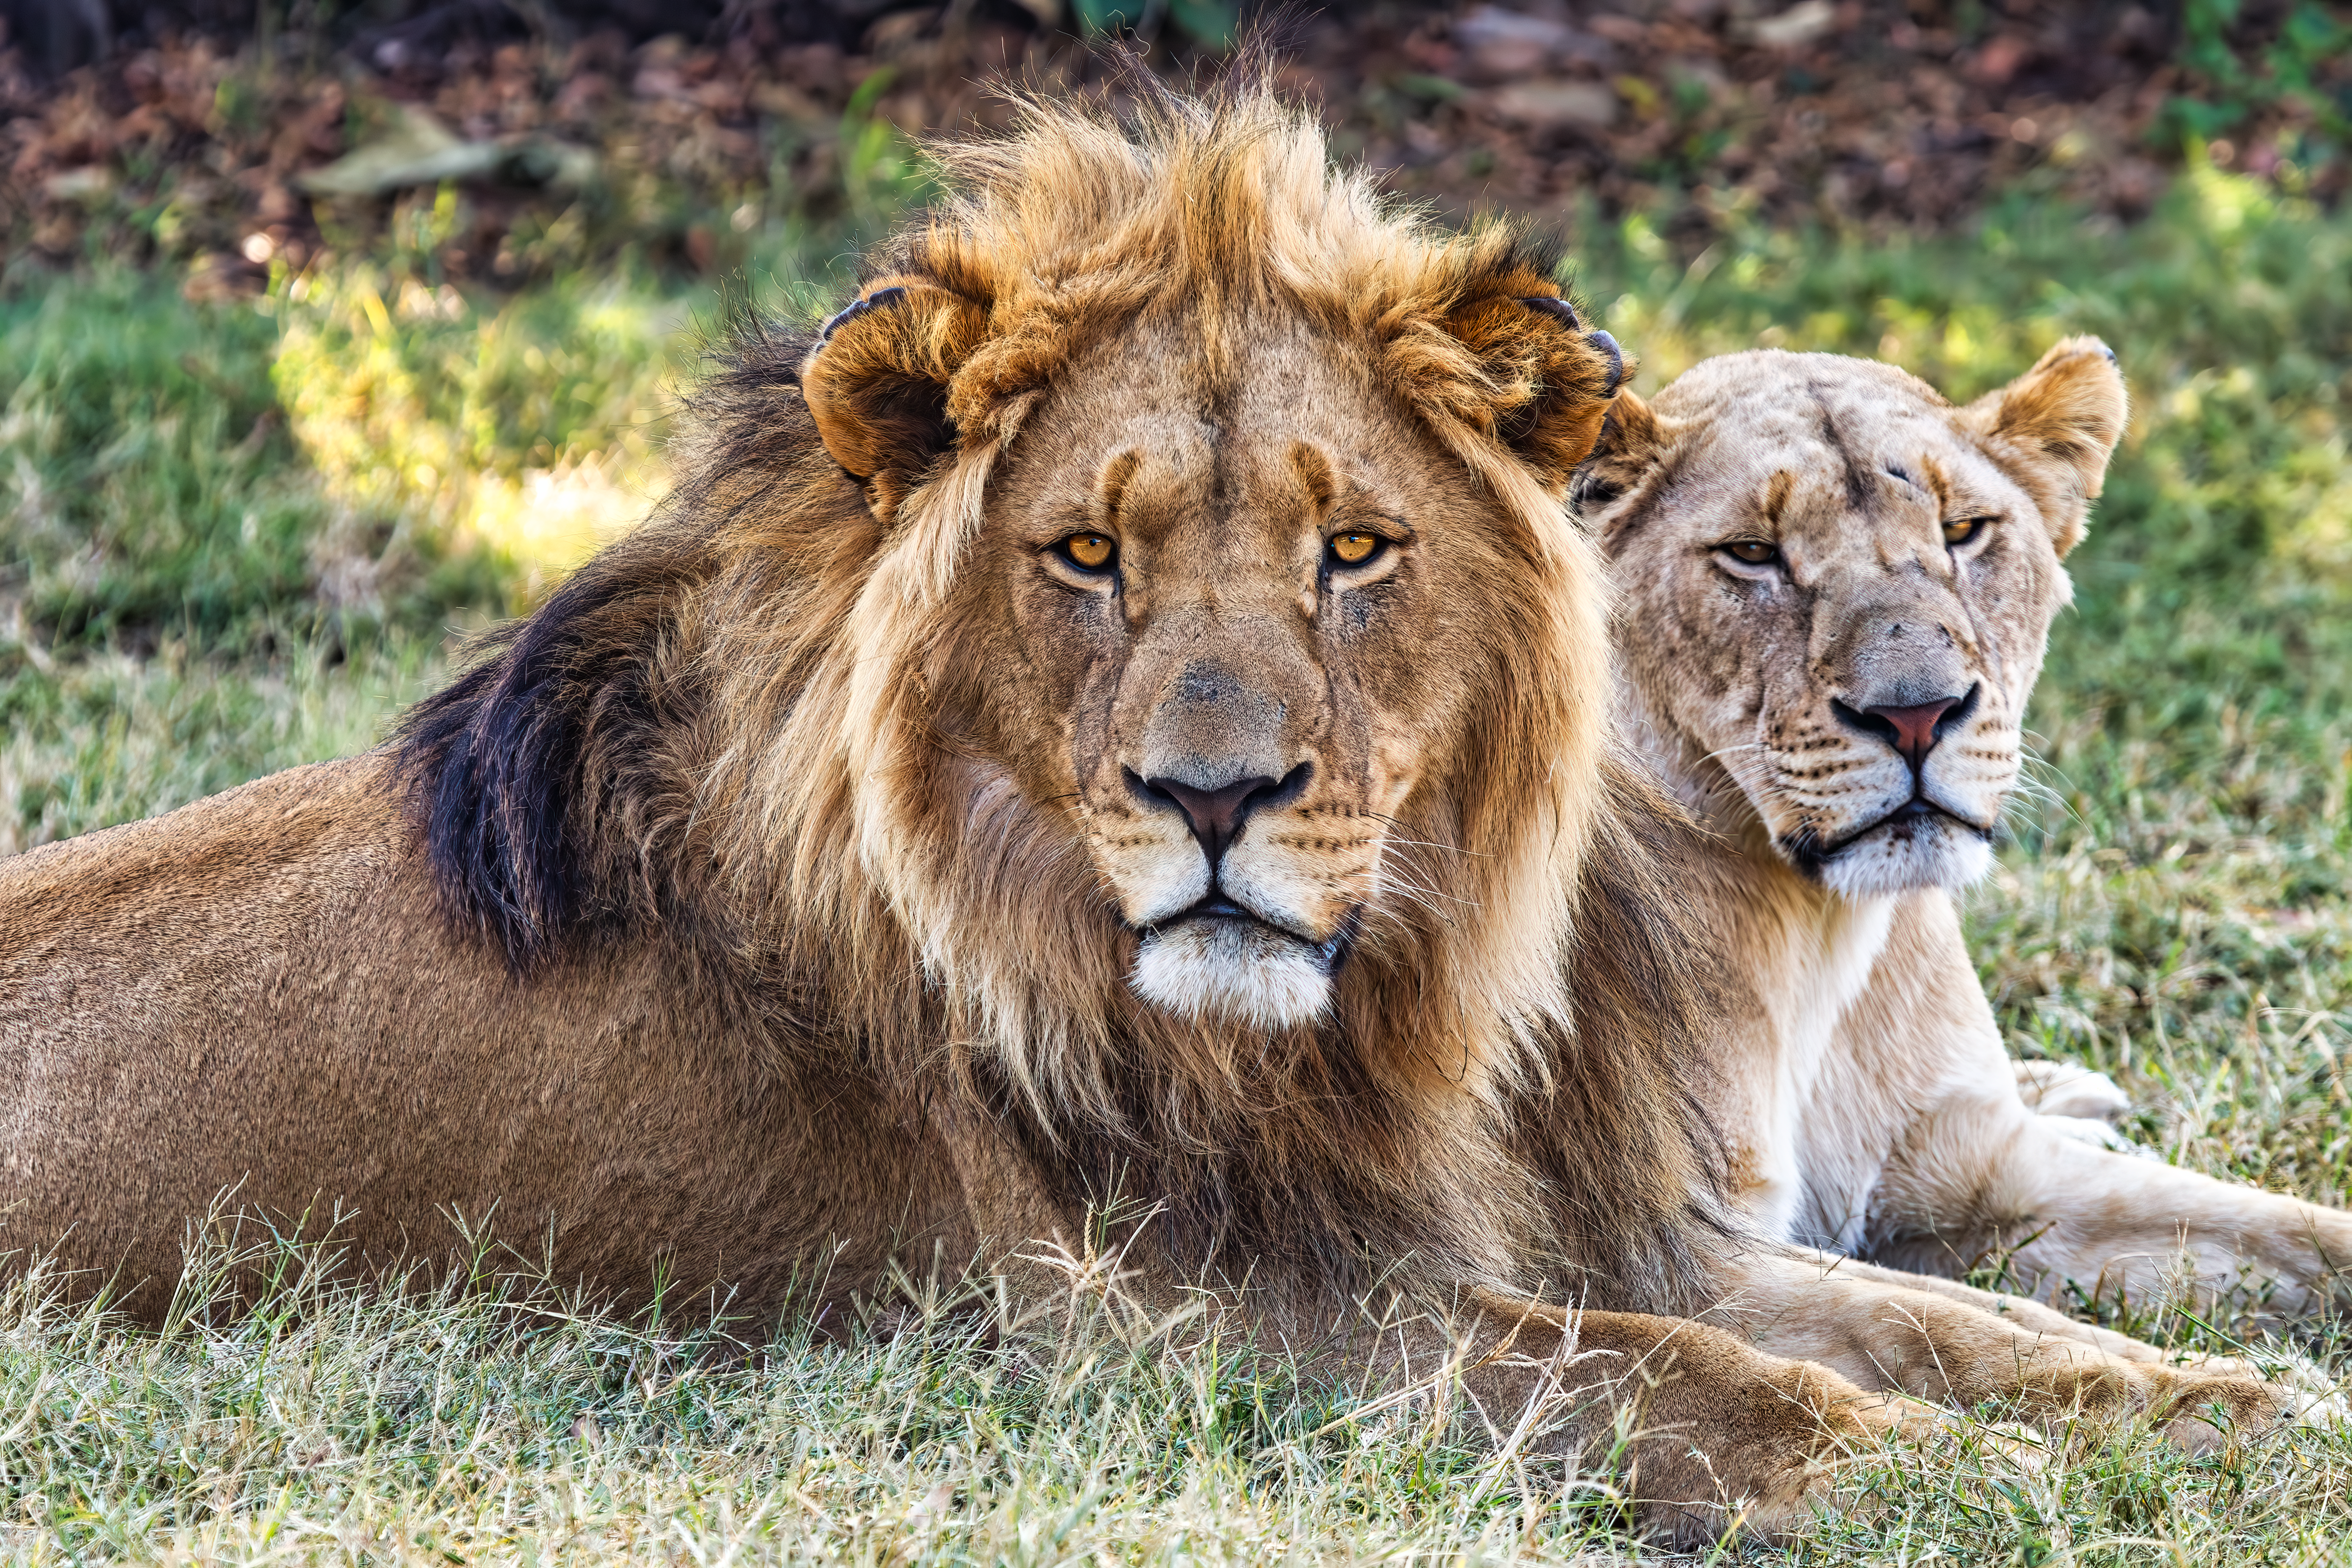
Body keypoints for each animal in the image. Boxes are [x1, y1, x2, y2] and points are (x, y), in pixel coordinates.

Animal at [1576, 341, 2352, 1335]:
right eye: (1750, 553)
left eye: (1964, 530)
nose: (1917, 713)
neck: (1825, 939)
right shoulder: (1659, 1252)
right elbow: (1954, 1329)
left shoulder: (1988, 1173)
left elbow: (2293, 1230)